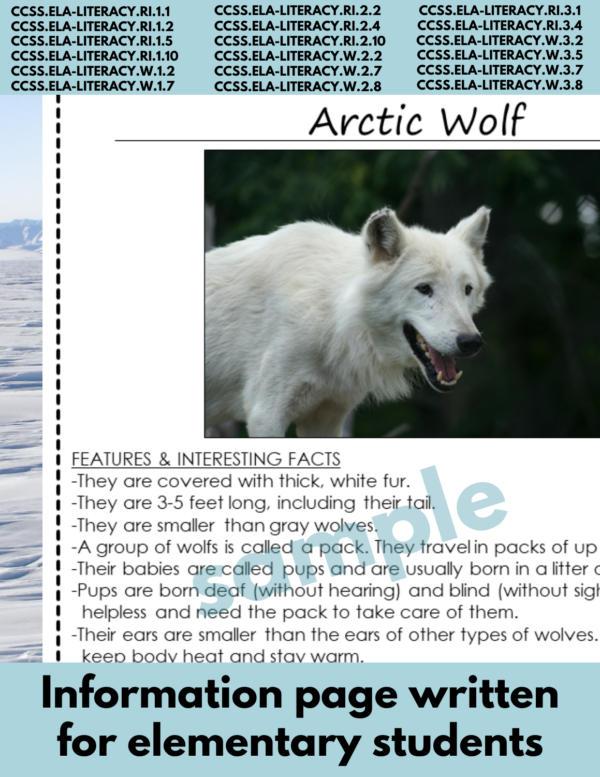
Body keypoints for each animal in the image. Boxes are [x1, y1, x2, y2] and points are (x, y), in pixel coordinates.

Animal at [205, 207, 491, 437]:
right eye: (424, 288)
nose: (471, 342)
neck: (332, 317)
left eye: (467, 289)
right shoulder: (266, 415)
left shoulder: (325, 418)